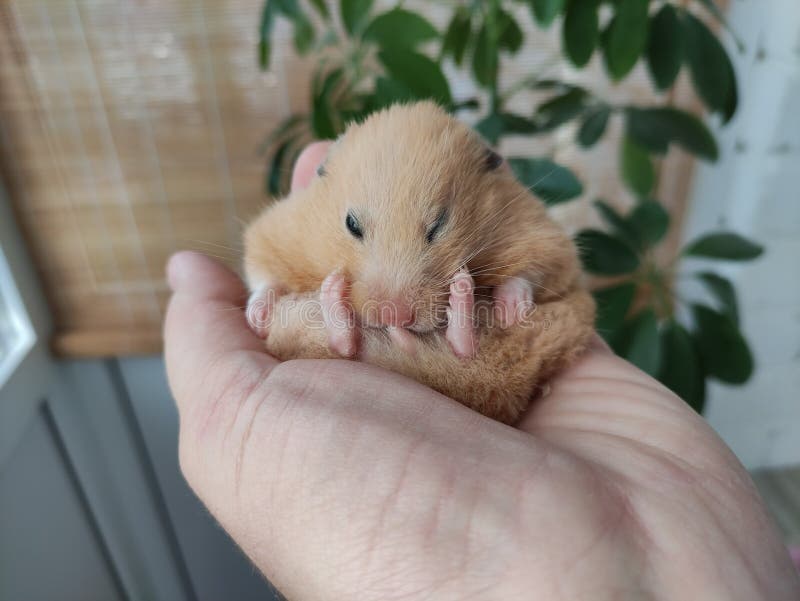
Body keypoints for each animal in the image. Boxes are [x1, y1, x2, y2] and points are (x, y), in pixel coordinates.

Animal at [243, 102, 595, 424]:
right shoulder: (278, 230)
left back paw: (466, 298)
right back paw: (335, 296)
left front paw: (510, 308)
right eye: (351, 224)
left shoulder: (543, 235)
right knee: (345, 346)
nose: (394, 316)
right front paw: (256, 317)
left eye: (438, 224)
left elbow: (533, 270)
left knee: (463, 347)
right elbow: (262, 273)